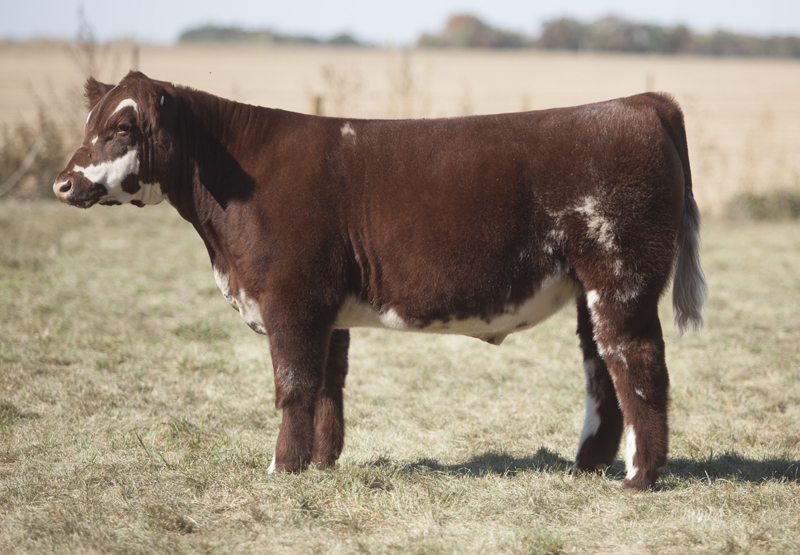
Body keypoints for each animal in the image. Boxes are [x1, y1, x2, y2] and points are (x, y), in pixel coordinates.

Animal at [53, 71, 706, 490]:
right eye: (89, 125)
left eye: (122, 129)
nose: (63, 182)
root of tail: (639, 102)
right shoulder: (325, 309)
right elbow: (326, 385)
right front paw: (320, 465)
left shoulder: (291, 298)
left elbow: (292, 384)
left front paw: (281, 469)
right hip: (588, 288)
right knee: (602, 374)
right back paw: (585, 469)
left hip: (620, 275)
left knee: (637, 364)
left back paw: (639, 478)